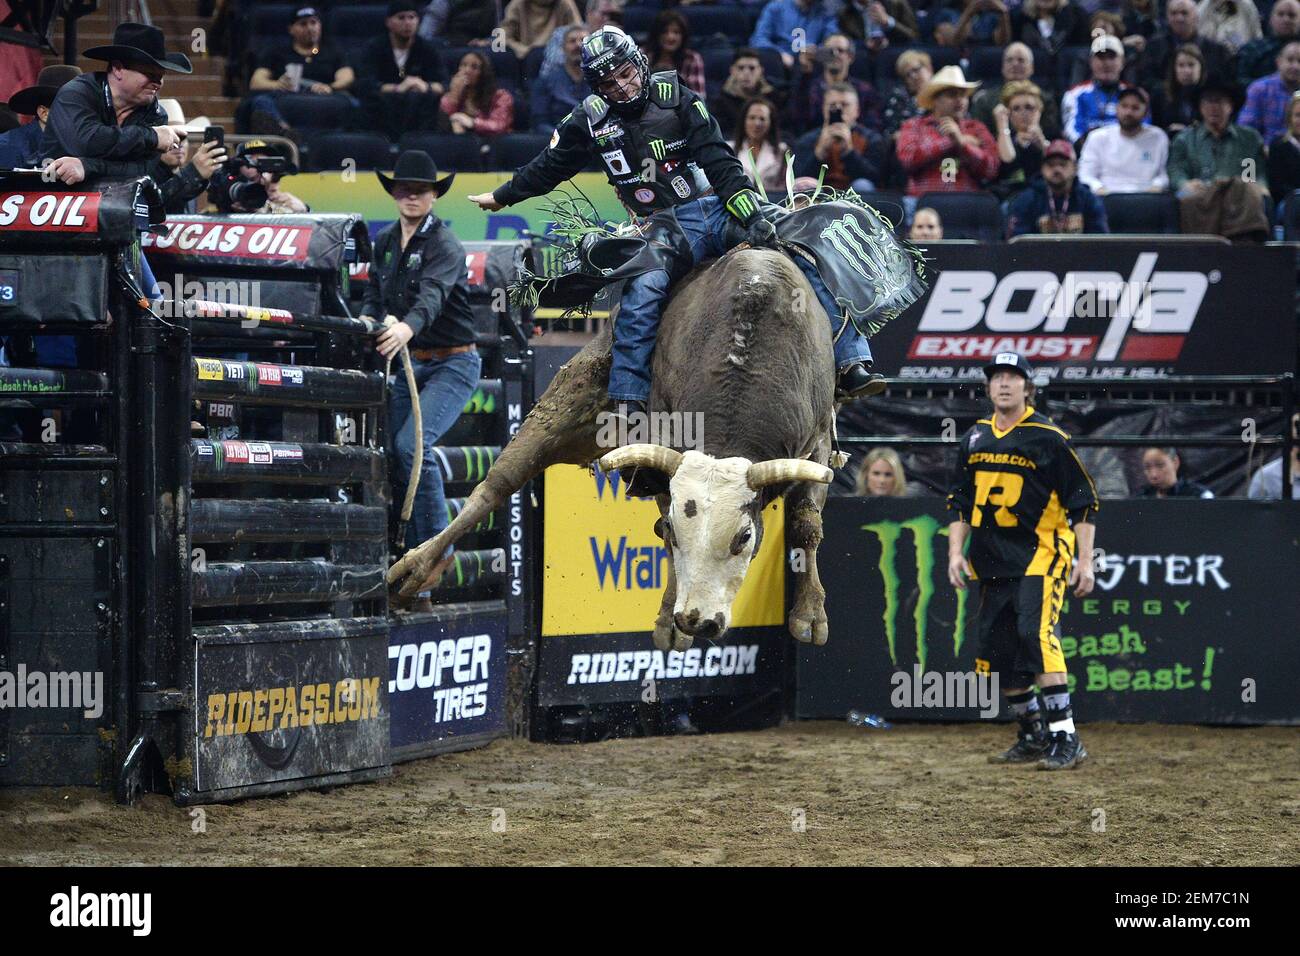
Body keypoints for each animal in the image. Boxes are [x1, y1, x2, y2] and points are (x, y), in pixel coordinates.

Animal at [388, 245, 839, 651]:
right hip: (569, 404)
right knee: (496, 485)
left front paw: (809, 615)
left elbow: (806, 523)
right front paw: (668, 618)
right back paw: (411, 571)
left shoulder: (816, 441)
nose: (696, 620)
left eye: (744, 536)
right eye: (679, 529)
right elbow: (663, 524)